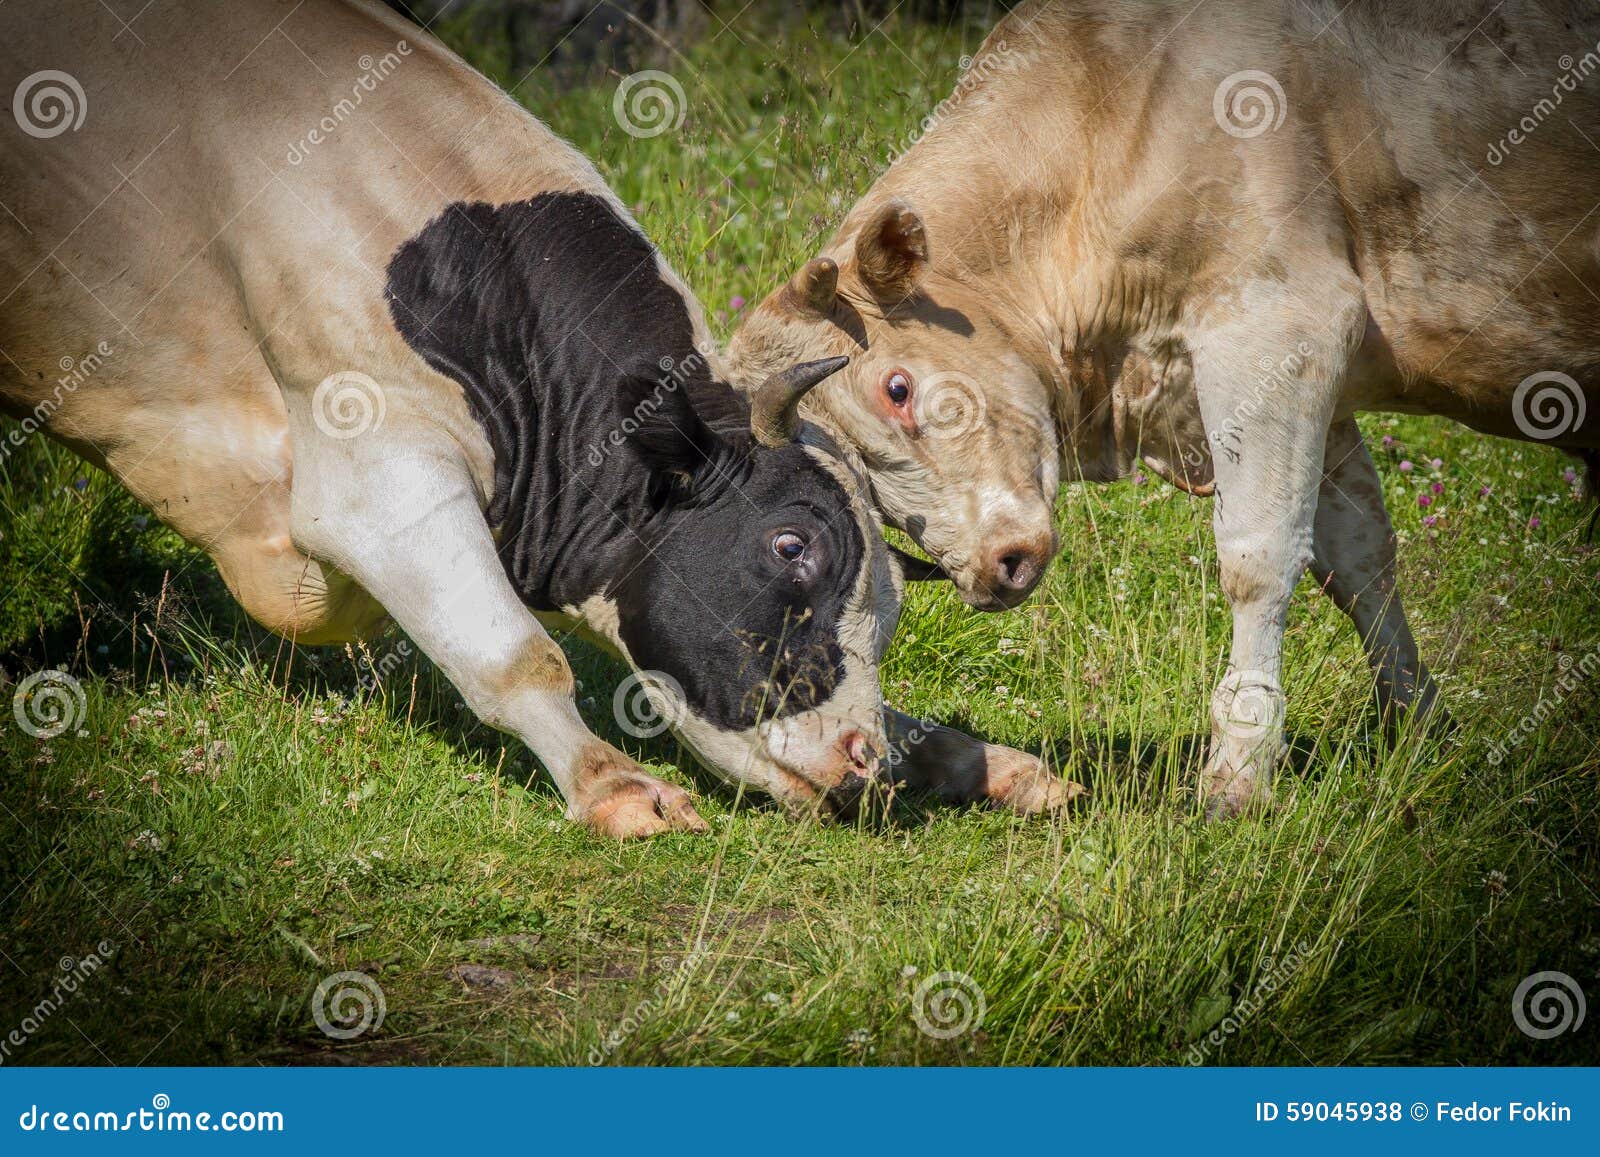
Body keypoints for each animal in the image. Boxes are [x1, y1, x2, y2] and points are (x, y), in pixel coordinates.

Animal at [0, 0, 1069, 837]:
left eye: (890, 605)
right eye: (789, 545)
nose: (859, 761)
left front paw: (978, 762)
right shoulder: (375, 475)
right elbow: (517, 656)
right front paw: (616, 786)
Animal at [729, 0, 1600, 817]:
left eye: (898, 388)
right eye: (865, 488)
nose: (995, 570)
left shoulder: (1280, 327)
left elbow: (1259, 558)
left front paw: (1240, 769)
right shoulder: (1316, 391)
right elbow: (1359, 560)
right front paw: (1418, 725)